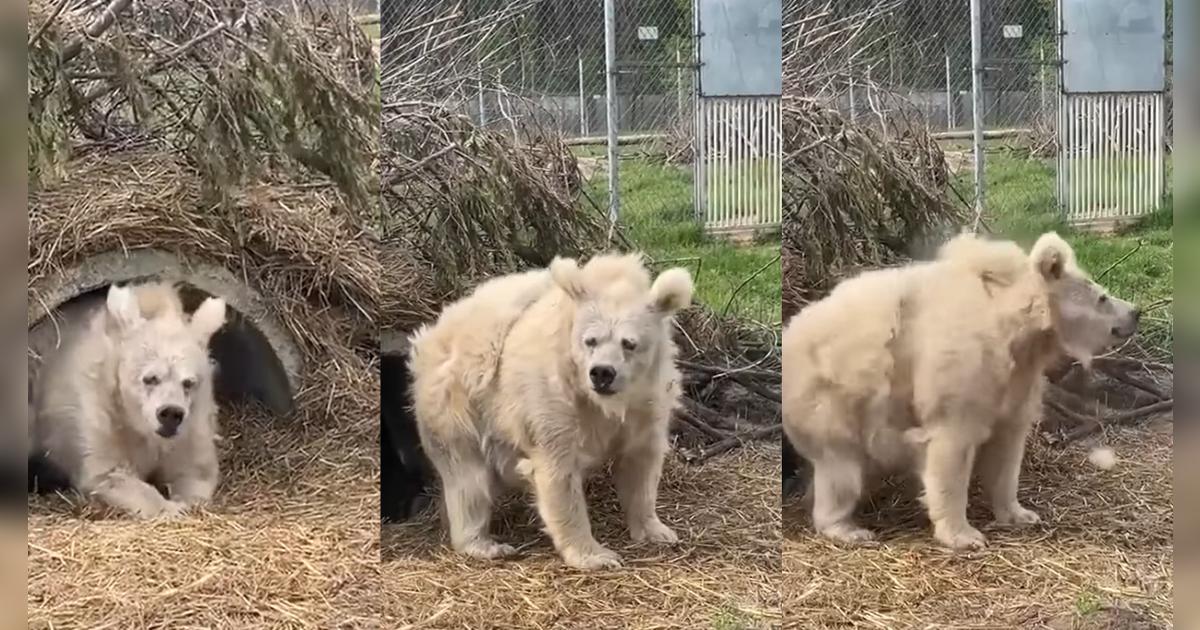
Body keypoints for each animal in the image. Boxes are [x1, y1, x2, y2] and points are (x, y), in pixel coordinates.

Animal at [30, 281, 227, 519]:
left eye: (188, 382)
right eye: (150, 378)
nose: (171, 414)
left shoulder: (192, 425)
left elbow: (195, 471)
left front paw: (186, 502)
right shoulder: (100, 415)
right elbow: (109, 473)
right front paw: (170, 507)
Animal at [408, 253, 693, 570]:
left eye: (629, 343)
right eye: (590, 340)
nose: (602, 373)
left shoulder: (646, 405)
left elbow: (641, 463)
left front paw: (658, 531)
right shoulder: (553, 401)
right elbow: (558, 474)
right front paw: (597, 556)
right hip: (459, 404)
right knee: (468, 479)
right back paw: (485, 544)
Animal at [782, 231, 1140, 549]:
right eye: (1102, 296)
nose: (1135, 312)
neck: (1015, 328)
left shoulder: (1016, 380)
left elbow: (1007, 447)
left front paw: (1021, 514)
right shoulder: (962, 370)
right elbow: (951, 445)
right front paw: (963, 535)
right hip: (834, 398)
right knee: (840, 467)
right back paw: (848, 529)